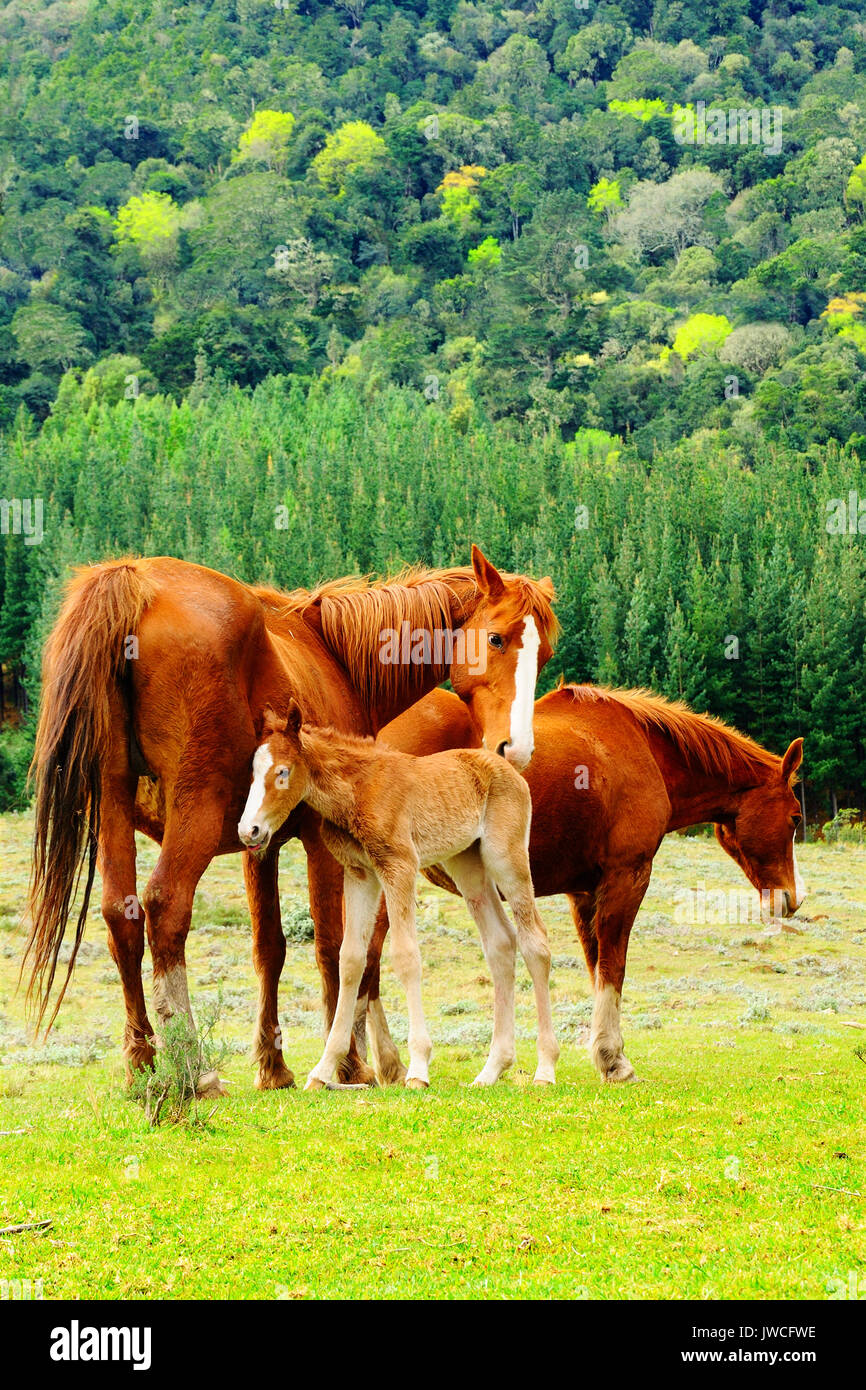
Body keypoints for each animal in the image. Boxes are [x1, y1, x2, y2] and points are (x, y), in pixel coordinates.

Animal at [238, 702, 559, 1091]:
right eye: (253, 772)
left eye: (282, 771)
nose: (249, 830)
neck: (357, 789)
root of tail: (507, 767)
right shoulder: (359, 873)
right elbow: (350, 960)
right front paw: (322, 1070)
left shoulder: (399, 866)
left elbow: (406, 956)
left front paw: (418, 1068)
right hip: (467, 866)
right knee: (500, 943)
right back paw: (491, 1070)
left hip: (505, 858)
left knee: (535, 941)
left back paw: (545, 1069)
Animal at [364, 683, 805, 1084]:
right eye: (796, 817)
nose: (792, 898)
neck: (644, 749)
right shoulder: (627, 877)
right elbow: (613, 966)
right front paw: (614, 1059)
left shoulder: (583, 893)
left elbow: (595, 965)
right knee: (367, 964)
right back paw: (381, 1064)